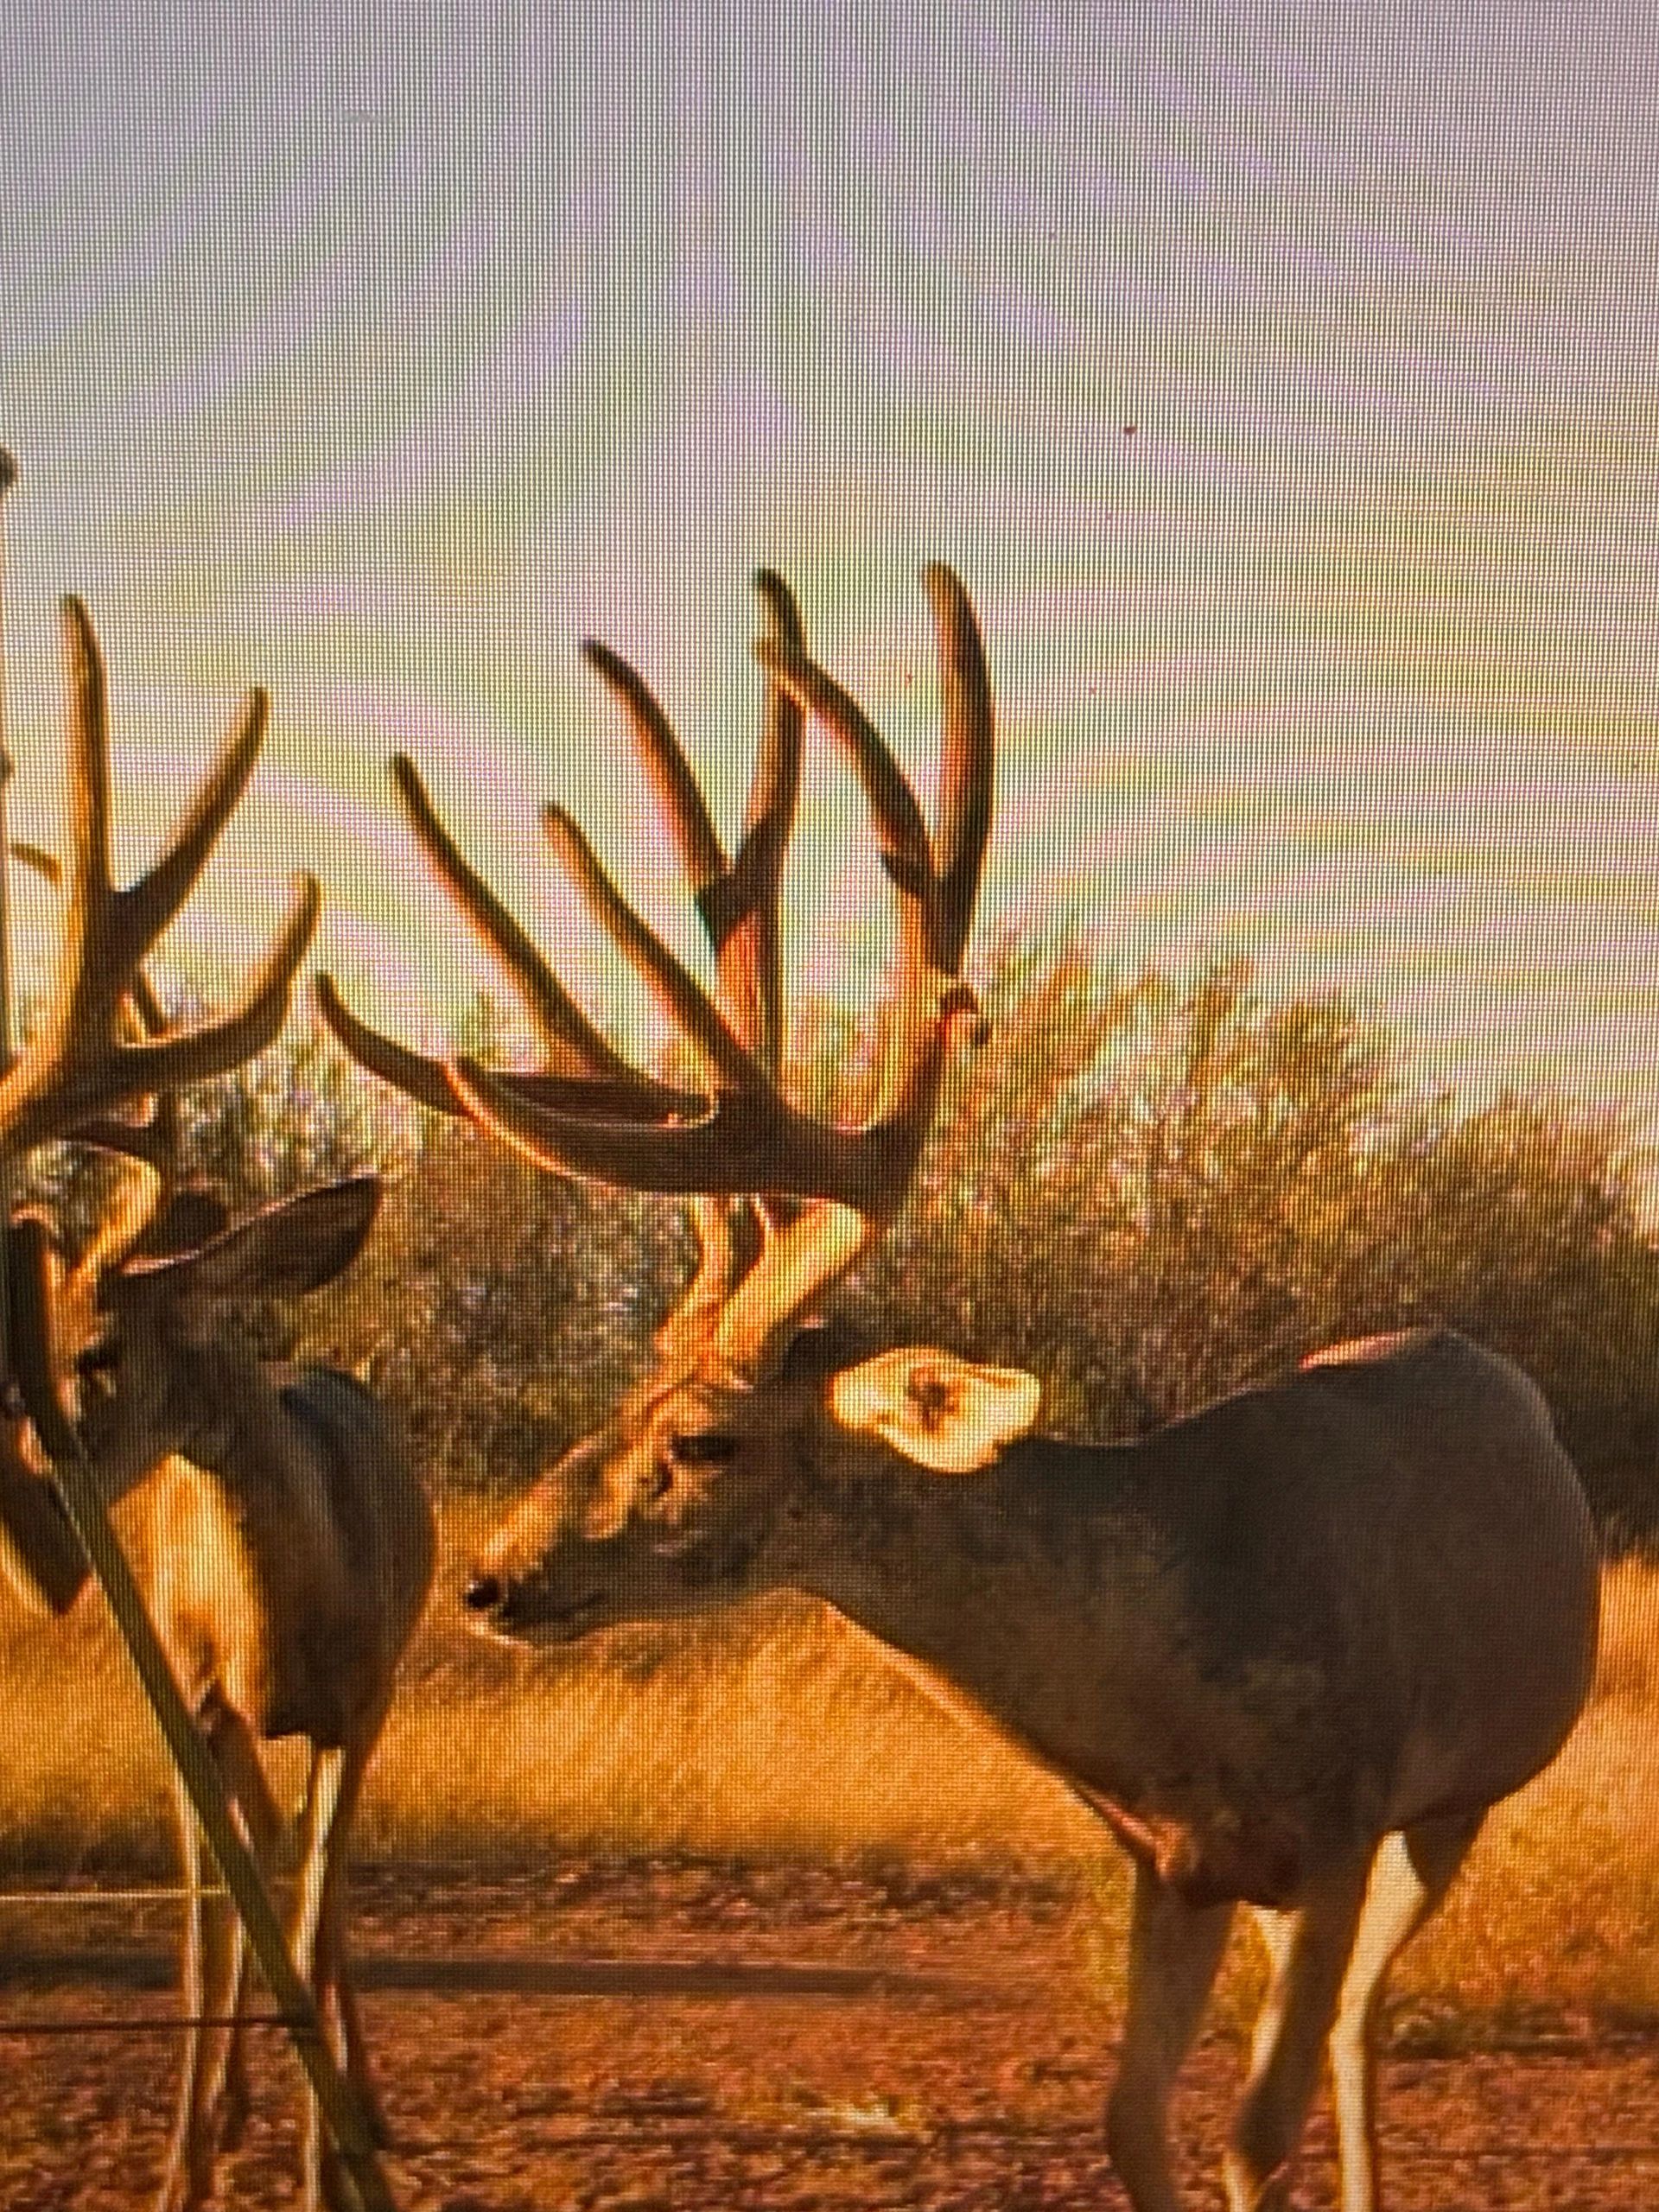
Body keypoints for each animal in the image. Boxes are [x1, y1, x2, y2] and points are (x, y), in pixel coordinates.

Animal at [0, 599, 436, 2212]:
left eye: (103, 1349)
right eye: (34, 1335)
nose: (37, 1540)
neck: (281, 1619)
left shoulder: (364, 1701)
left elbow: (309, 1916)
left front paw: (330, 2158)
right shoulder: (195, 1697)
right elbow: (218, 1932)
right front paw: (189, 2159)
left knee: (301, 1885)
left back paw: (354, 2098)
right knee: (234, 1871)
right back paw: (235, 2109)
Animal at [319, 566, 1601, 2212]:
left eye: (706, 1438)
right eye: (634, 1379)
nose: (490, 1575)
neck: (1177, 1668)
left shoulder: (1337, 1818)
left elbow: (1255, 2134)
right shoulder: (1179, 1864)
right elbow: (1132, 2124)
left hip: (1464, 1794)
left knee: (1365, 2017)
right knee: (1350, 2026)